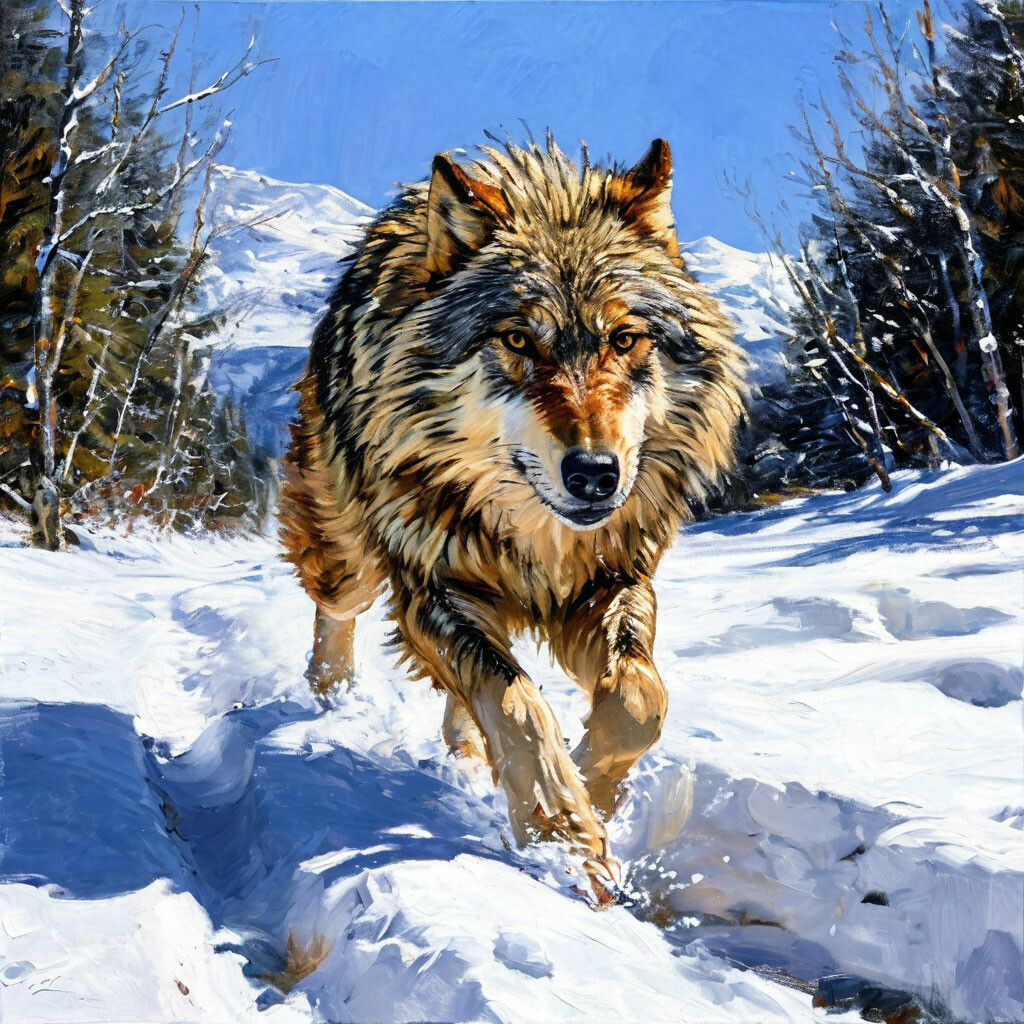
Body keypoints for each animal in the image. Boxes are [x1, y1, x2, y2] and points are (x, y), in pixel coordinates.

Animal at [280, 136, 744, 902]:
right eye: (520, 341)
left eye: (624, 339)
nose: (594, 473)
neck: (539, 541)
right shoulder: (436, 588)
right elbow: (520, 706)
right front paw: (567, 839)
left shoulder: (612, 578)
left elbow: (639, 700)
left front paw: (593, 789)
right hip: (349, 548)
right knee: (335, 610)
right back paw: (332, 701)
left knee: (463, 705)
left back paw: (466, 759)